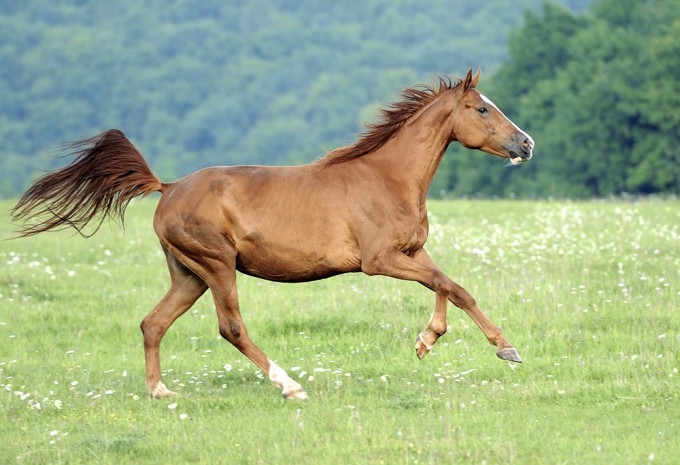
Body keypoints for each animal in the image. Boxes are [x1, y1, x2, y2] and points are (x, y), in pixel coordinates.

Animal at [12, 68, 533, 400]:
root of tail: (168, 187)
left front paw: (441, 341)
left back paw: (160, 391)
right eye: (481, 109)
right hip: (217, 266)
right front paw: (501, 348)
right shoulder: (379, 261)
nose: (526, 144)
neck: (387, 177)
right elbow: (447, 284)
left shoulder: (413, 251)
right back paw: (290, 386)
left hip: (188, 274)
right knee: (231, 328)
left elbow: (453, 287)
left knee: (153, 323)